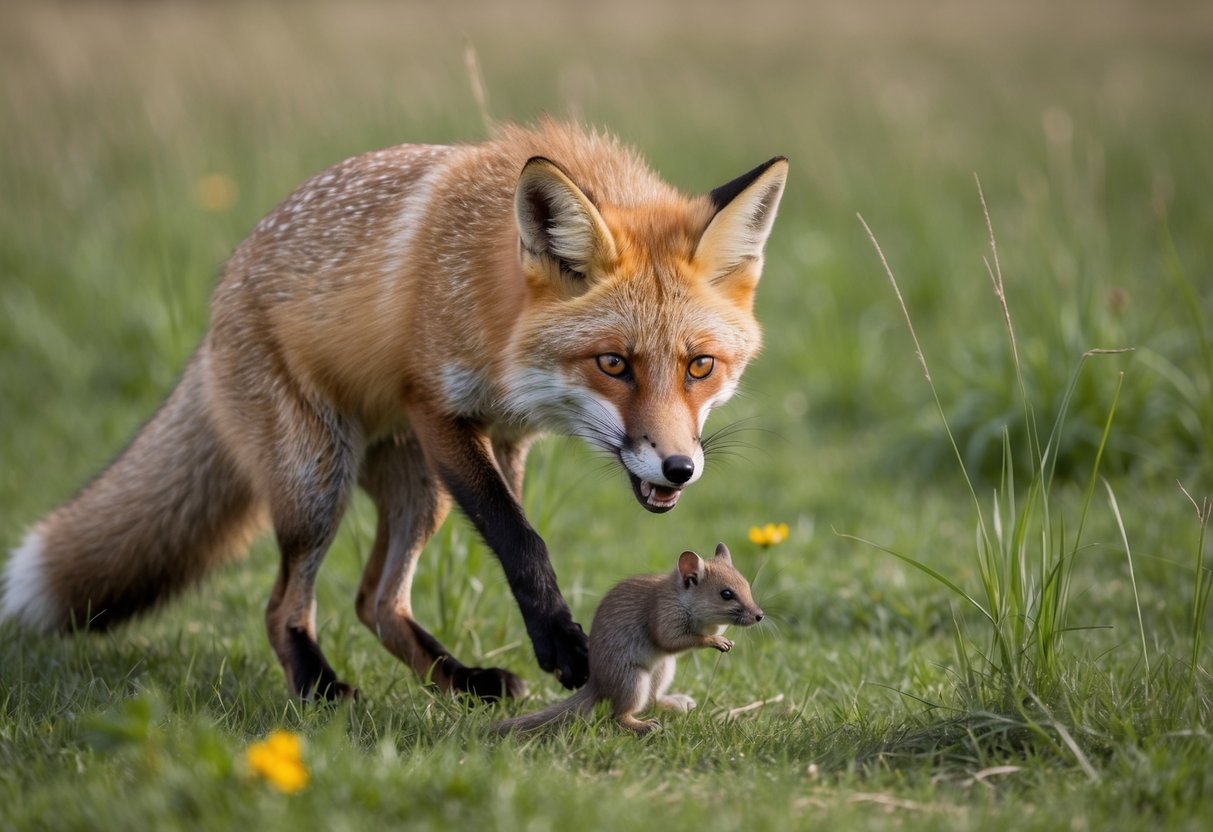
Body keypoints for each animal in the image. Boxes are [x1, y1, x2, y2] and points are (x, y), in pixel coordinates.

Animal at [1, 120, 787, 703]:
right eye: (614, 364)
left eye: (699, 366)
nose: (678, 468)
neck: (489, 302)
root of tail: (221, 297)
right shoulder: (436, 408)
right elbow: (523, 543)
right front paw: (564, 646)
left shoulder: (506, 438)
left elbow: (518, 537)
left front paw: (552, 641)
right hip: (318, 481)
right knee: (284, 604)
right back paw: (319, 688)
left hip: (421, 489)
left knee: (375, 602)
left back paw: (460, 681)